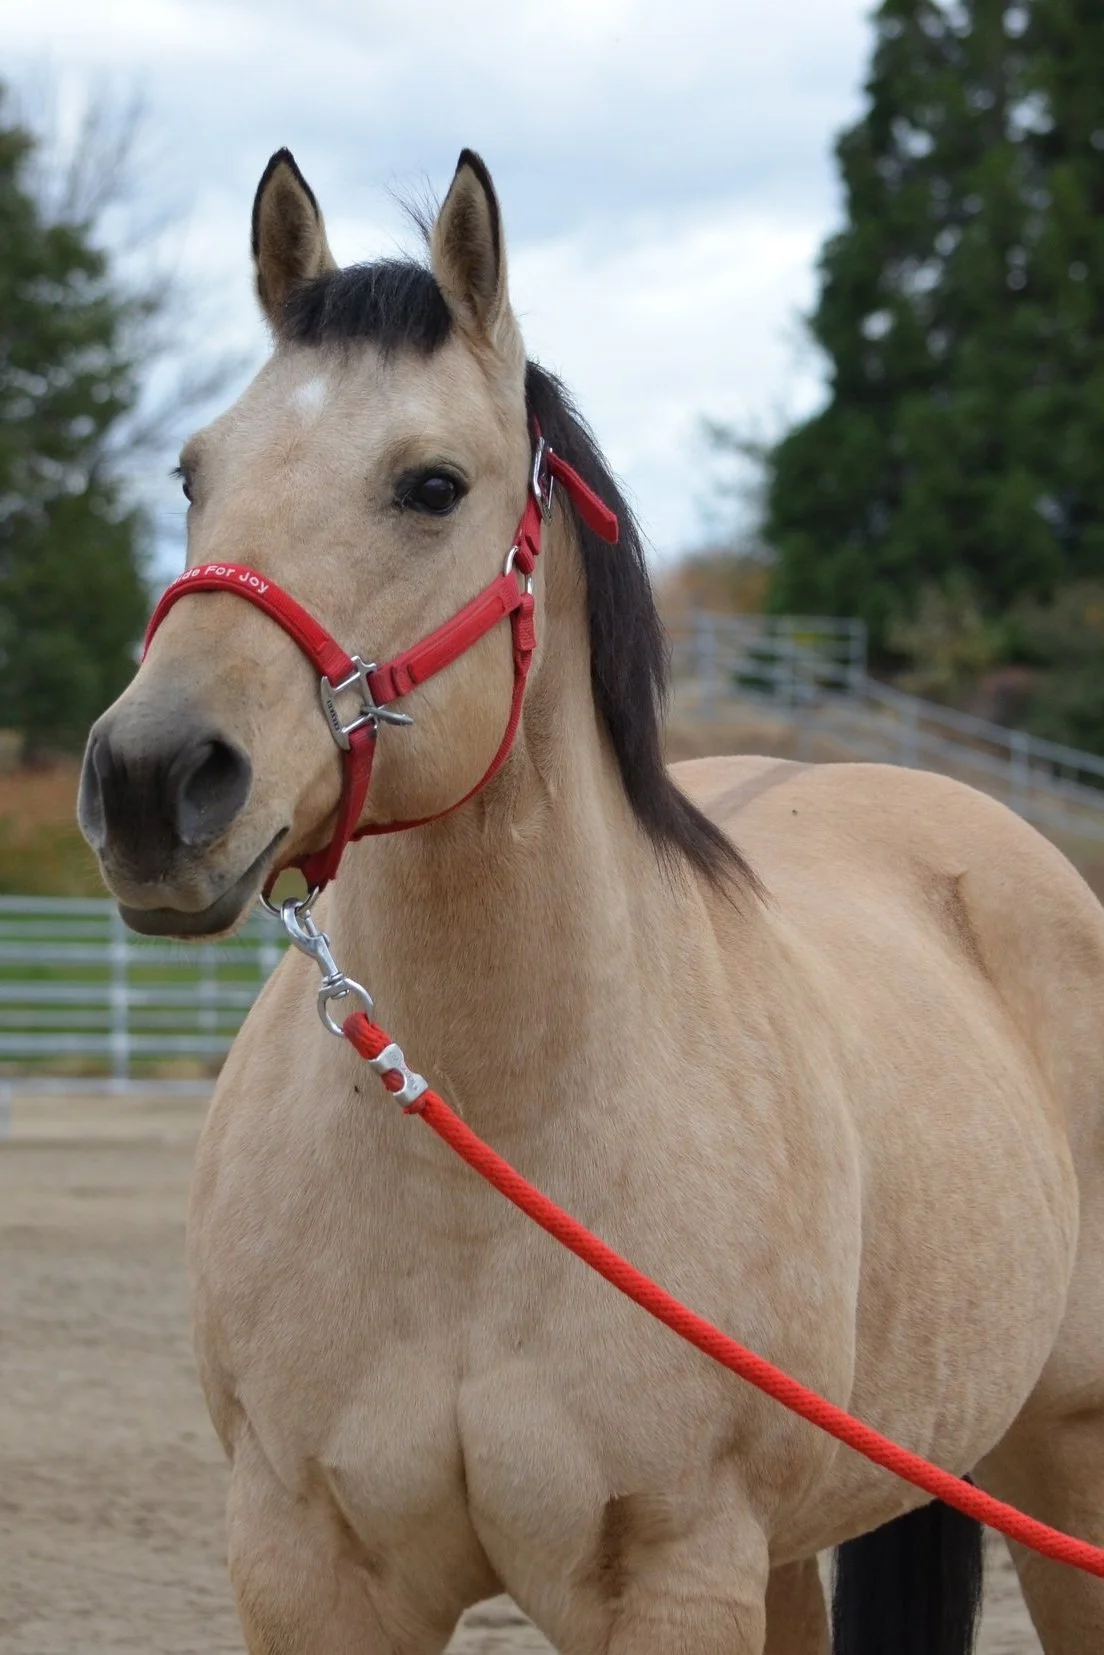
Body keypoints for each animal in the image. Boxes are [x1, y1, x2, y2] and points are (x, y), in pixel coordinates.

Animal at [76, 146, 1104, 1655]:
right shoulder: (304, 1561)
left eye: (431, 483)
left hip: (1060, 1469)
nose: (153, 782)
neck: (489, 1168)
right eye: (193, 470)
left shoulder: (674, 1567)